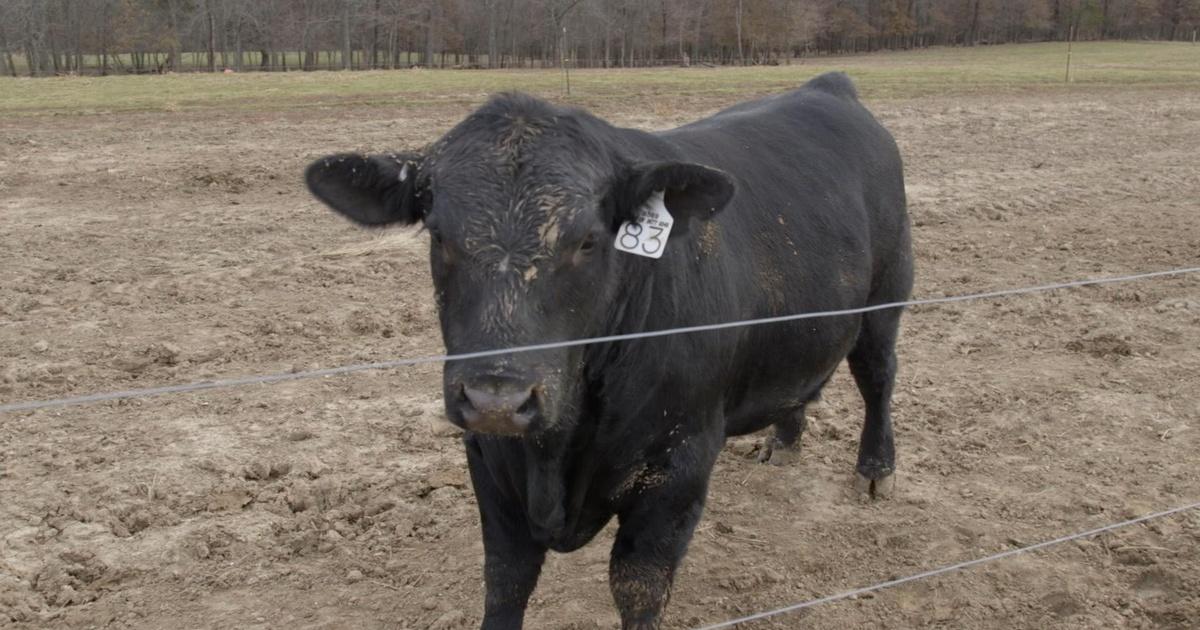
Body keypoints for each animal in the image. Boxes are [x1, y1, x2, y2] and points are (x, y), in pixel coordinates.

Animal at [305, 71, 913, 629]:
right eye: (437, 234)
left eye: (588, 241)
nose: (497, 398)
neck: (558, 454)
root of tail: (826, 87)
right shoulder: (488, 460)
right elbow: (505, 578)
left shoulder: (680, 464)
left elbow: (638, 587)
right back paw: (784, 442)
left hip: (886, 299)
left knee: (878, 377)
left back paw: (875, 470)